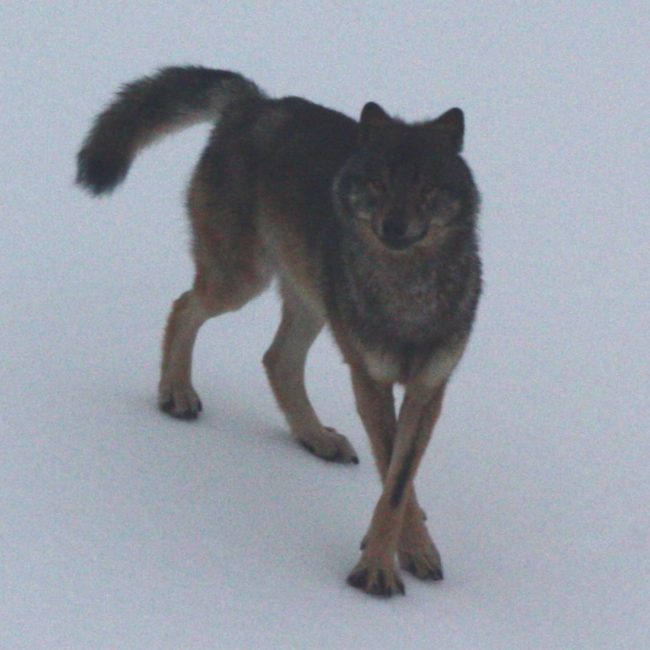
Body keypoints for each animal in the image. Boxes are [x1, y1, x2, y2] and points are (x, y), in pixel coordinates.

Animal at [77, 66, 482, 597]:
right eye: (377, 183)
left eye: (426, 189)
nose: (393, 226)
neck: (408, 292)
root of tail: (254, 104)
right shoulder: (369, 378)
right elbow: (392, 474)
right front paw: (379, 567)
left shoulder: (429, 387)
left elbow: (399, 481)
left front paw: (412, 550)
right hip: (240, 283)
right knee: (184, 306)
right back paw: (176, 393)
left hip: (310, 300)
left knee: (276, 358)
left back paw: (316, 438)